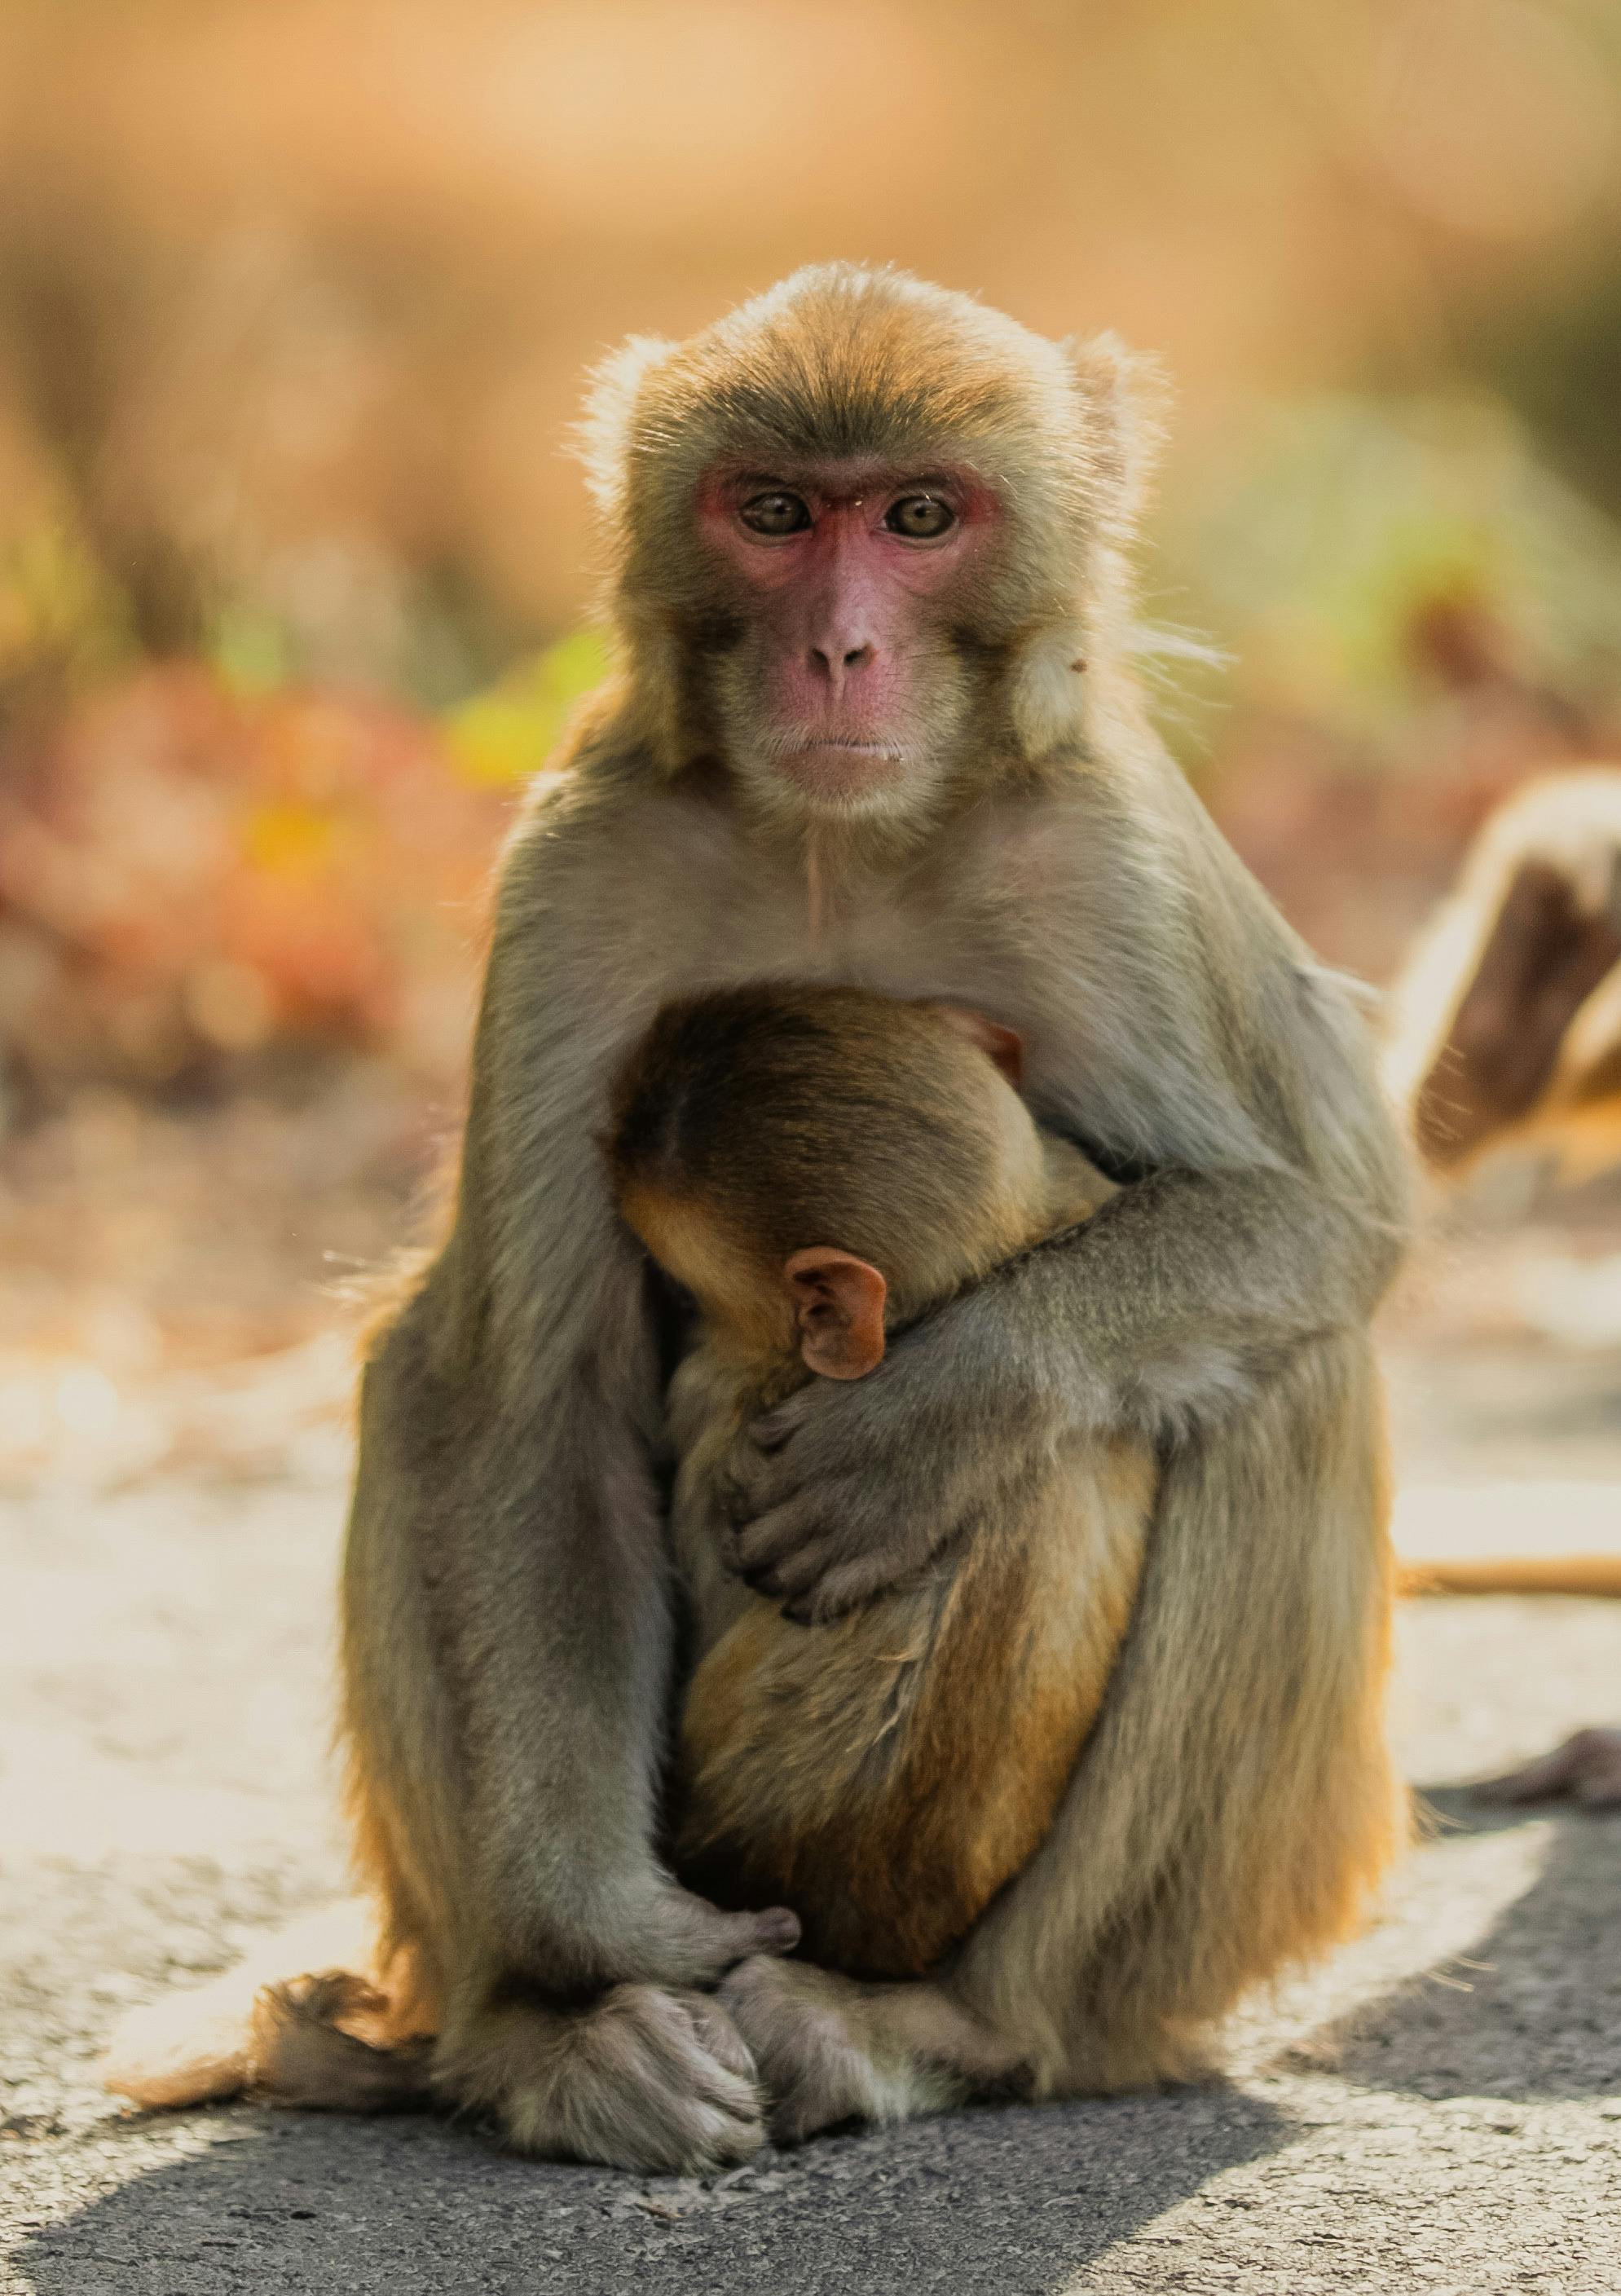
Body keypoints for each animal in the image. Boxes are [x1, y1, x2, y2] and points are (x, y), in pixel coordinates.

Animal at [105, 264, 1409, 2167]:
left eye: (920, 517)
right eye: (777, 514)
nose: (839, 651)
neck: (837, 834)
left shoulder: (1107, 857)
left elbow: (1325, 1221)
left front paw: (945, 1411)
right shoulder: (585, 857)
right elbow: (530, 1382)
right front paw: (607, 1935)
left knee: (1285, 1384)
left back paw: (956, 2027)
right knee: (426, 1373)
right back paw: (538, 2033)